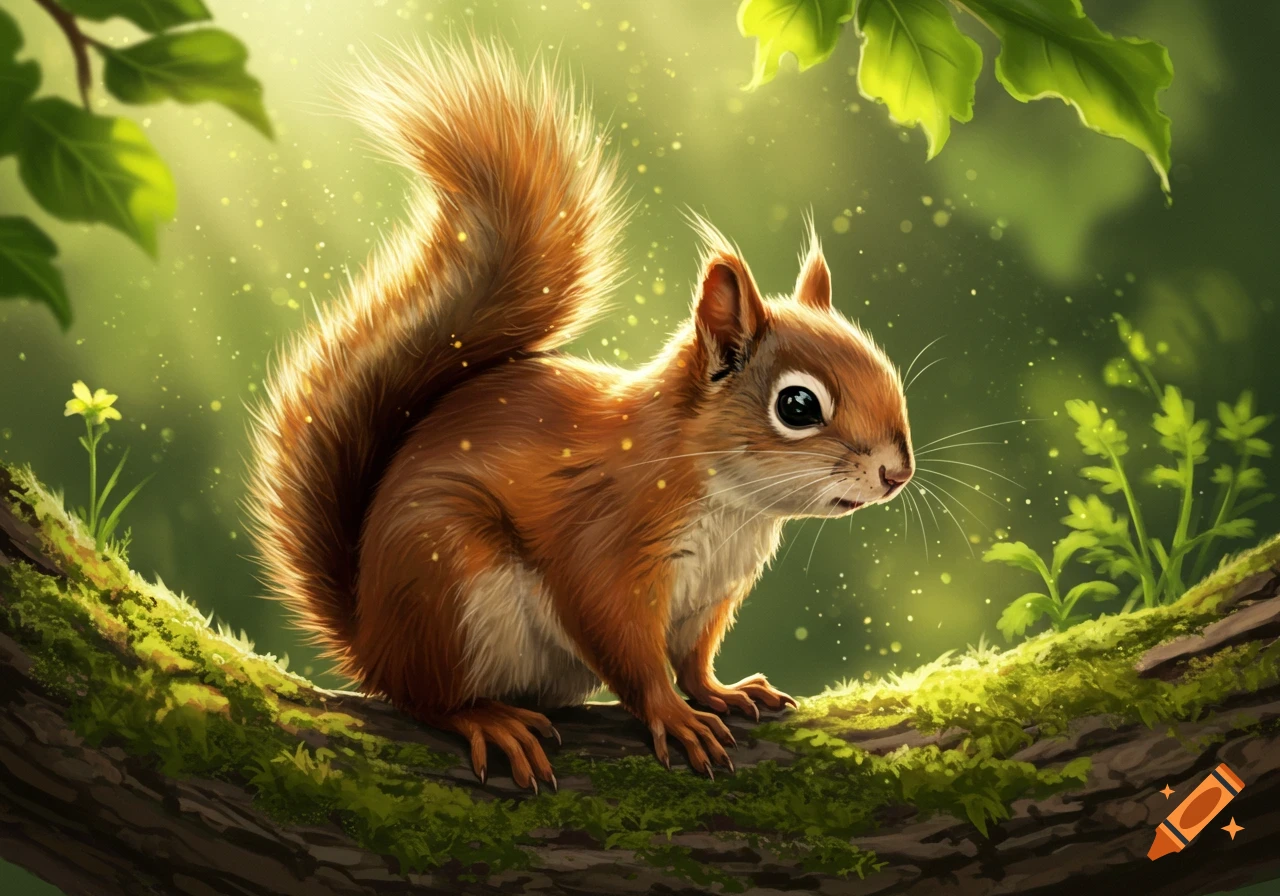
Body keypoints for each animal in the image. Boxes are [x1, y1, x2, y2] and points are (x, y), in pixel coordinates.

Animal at [247, 41, 914, 791]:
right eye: (798, 406)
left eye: (883, 366)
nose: (897, 473)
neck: (728, 504)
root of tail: (368, 638)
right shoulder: (605, 545)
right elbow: (624, 645)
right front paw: (675, 717)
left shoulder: (711, 596)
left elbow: (693, 658)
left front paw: (722, 691)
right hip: (446, 585)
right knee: (425, 699)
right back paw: (487, 720)